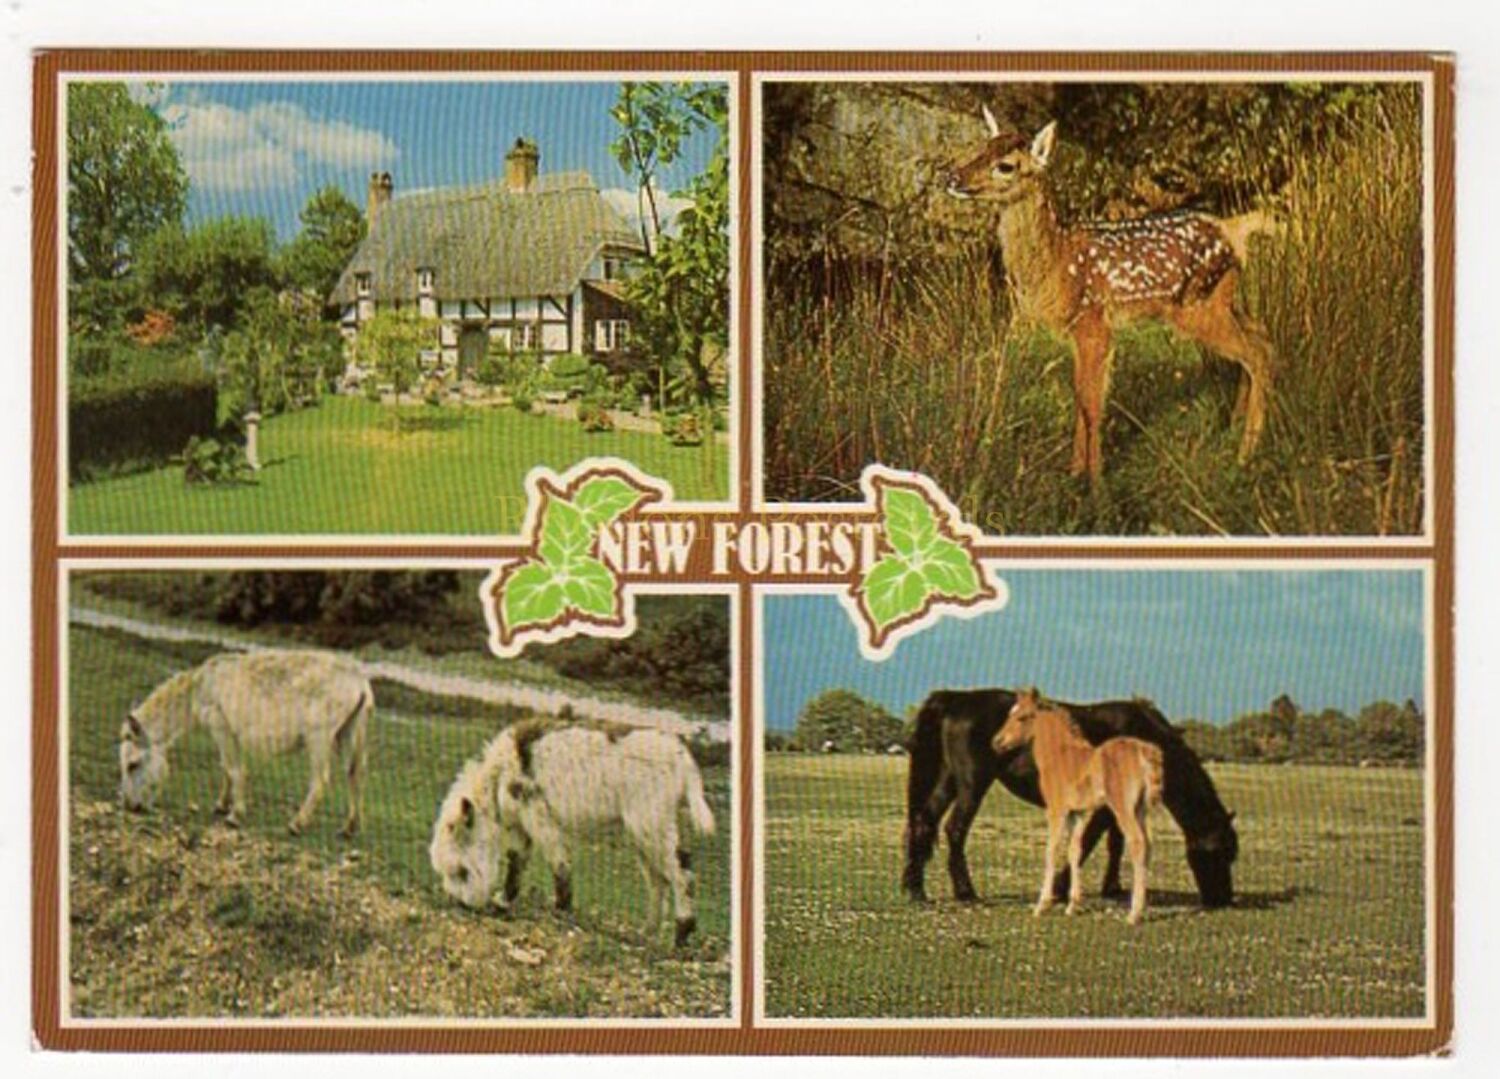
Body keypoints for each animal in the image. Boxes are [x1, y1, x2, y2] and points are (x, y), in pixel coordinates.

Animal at [945, 109, 1276, 485]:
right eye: (980, 149)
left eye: (1005, 166)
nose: (952, 177)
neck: (1056, 259)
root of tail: (1233, 229)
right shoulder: (1078, 332)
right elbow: (1080, 397)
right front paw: (1075, 473)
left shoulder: (1094, 322)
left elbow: (1092, 404)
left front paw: (1096, 483)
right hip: (1222, 299)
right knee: (1262, 336)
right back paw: (1235, 427)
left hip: (1198, 307)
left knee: (1257, 354)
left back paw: (1246, 453)